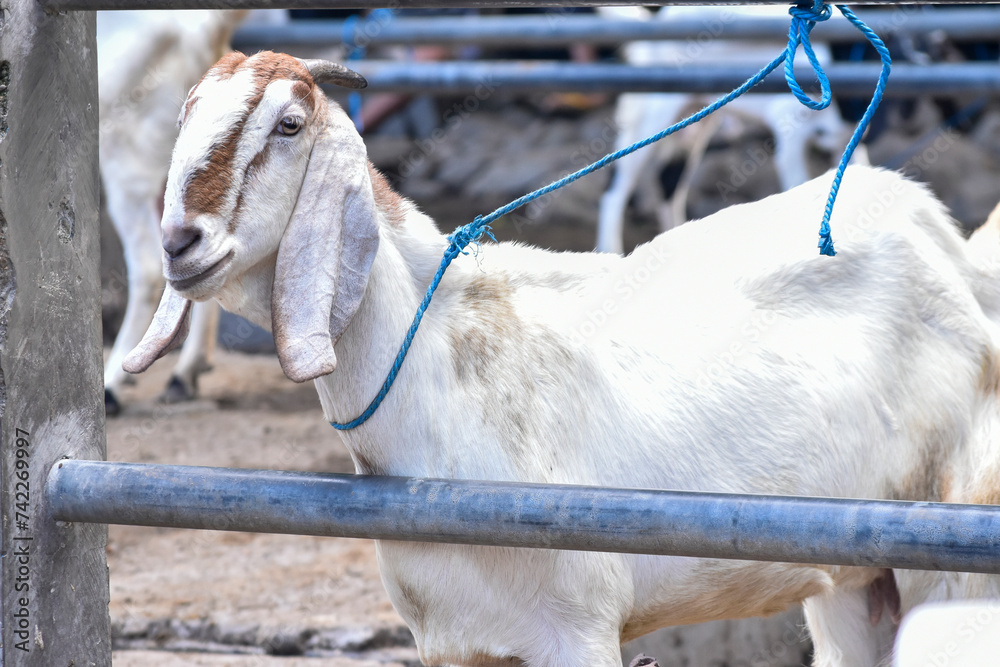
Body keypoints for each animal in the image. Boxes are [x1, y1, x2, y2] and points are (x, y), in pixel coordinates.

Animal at [123, 50, 1000, 667]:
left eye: (289, 125)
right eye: (186, 118)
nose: (180, 242)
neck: (444, 386)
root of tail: (946, 240)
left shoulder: (578, 628)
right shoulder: (457, 641)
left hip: (948, 554)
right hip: (855, 574)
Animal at [596, 5, 869, 254]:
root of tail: (654, 21)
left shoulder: (849, 137)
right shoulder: (787, 123)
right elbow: (800, 181)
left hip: (694, 123)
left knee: (668, 181)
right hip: (648, 116)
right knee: (615, 187)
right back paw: (610, 249)